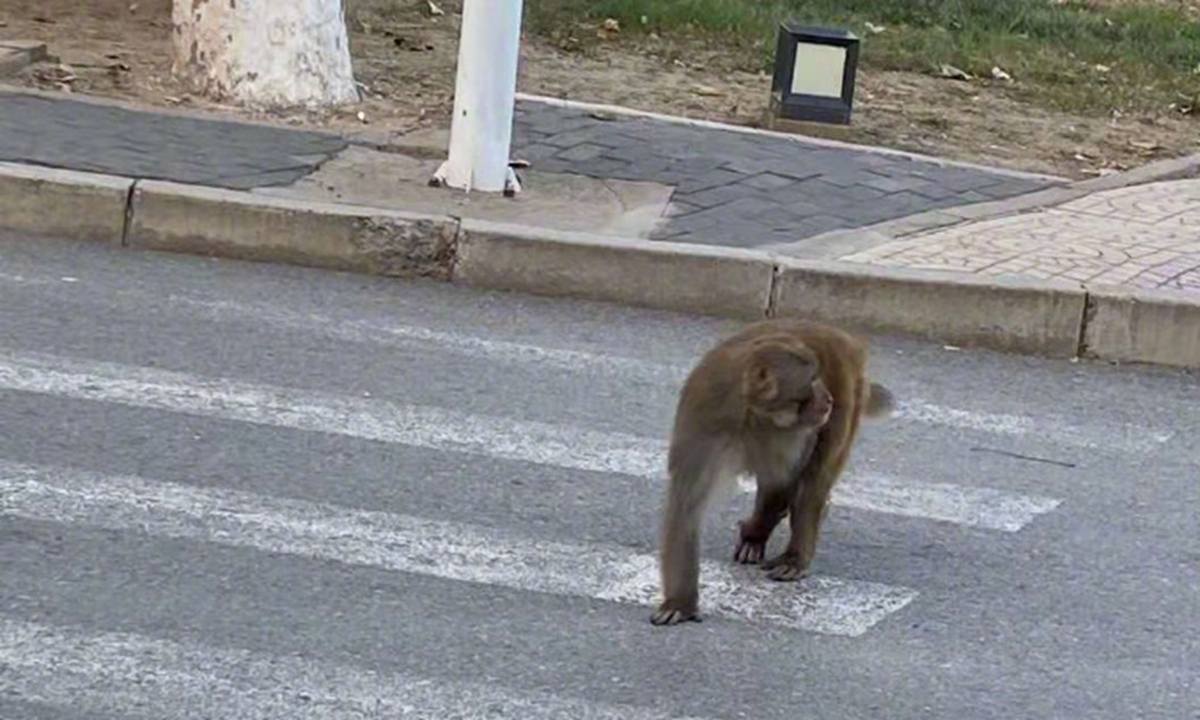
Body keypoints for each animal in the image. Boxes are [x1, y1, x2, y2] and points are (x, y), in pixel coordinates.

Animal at [650, 318, 894, 626]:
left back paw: (791, 553)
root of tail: (841, 336)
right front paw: (680, 603)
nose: (827, 398)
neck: (751, 414)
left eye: (819, 378)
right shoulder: (702, 421)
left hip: (847, 388)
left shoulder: (797, 432)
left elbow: (793, 480)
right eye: (810, 382)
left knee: (813, 478)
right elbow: (687, 505)